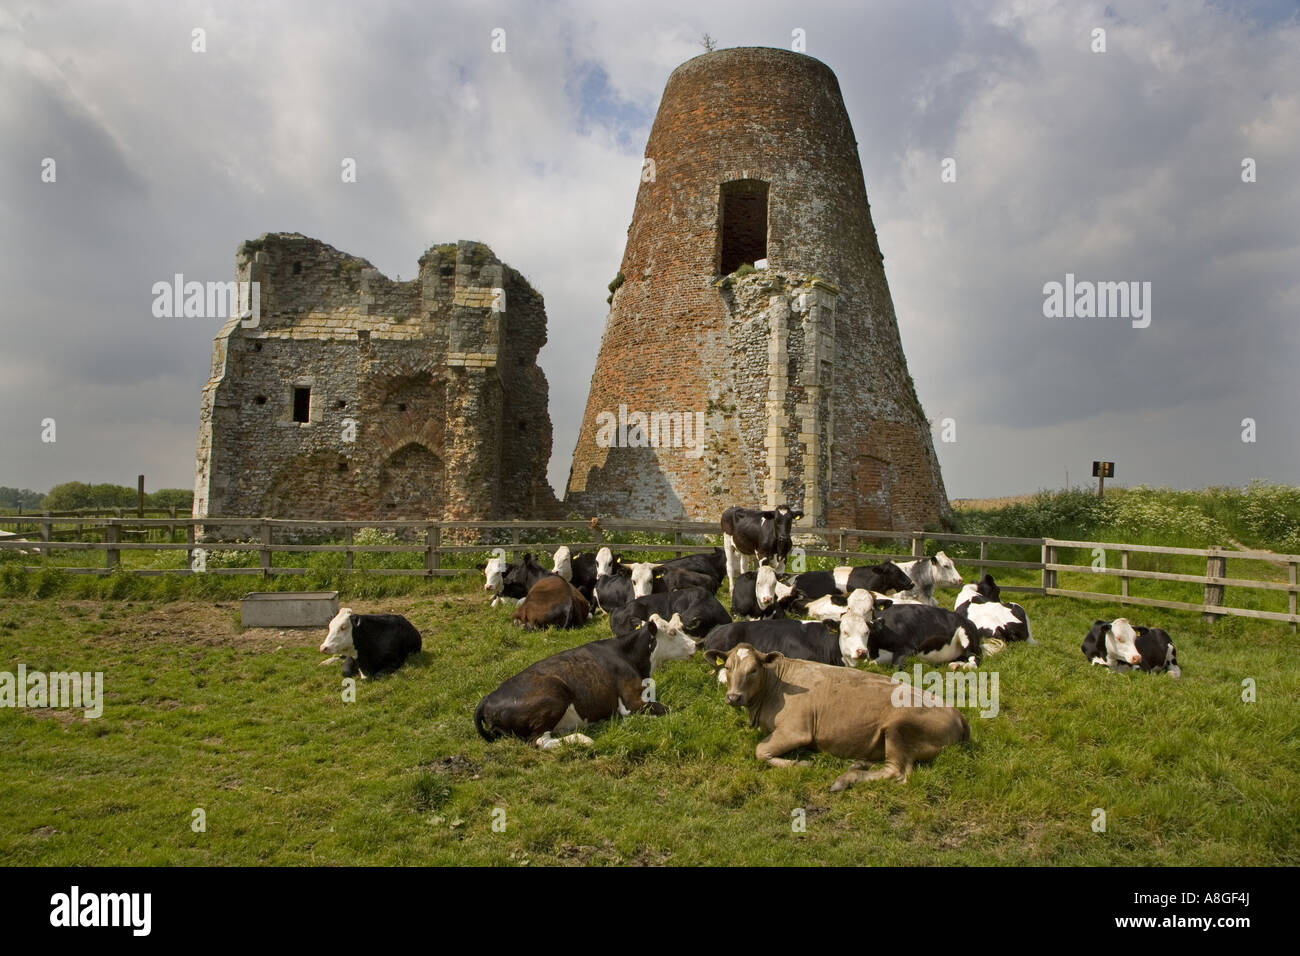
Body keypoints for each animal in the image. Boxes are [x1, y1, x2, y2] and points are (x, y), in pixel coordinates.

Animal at [473, 614, 698, 749]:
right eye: (672, 632)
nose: (695, 645)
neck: (629, 655)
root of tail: (487, 698)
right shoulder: (631, 701)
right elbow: (666, 710)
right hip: (555, 695)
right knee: (539, 740)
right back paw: (583, 739)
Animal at [710, 644, 969, 788]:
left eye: (754, 669)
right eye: (728, 668)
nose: (733, 697)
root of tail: (958, 713)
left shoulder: (797, 731)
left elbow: (760, 751)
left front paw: (802, 763)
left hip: (899, 727)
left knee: (897, 771)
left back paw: (846, 779)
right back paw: (859, 763)